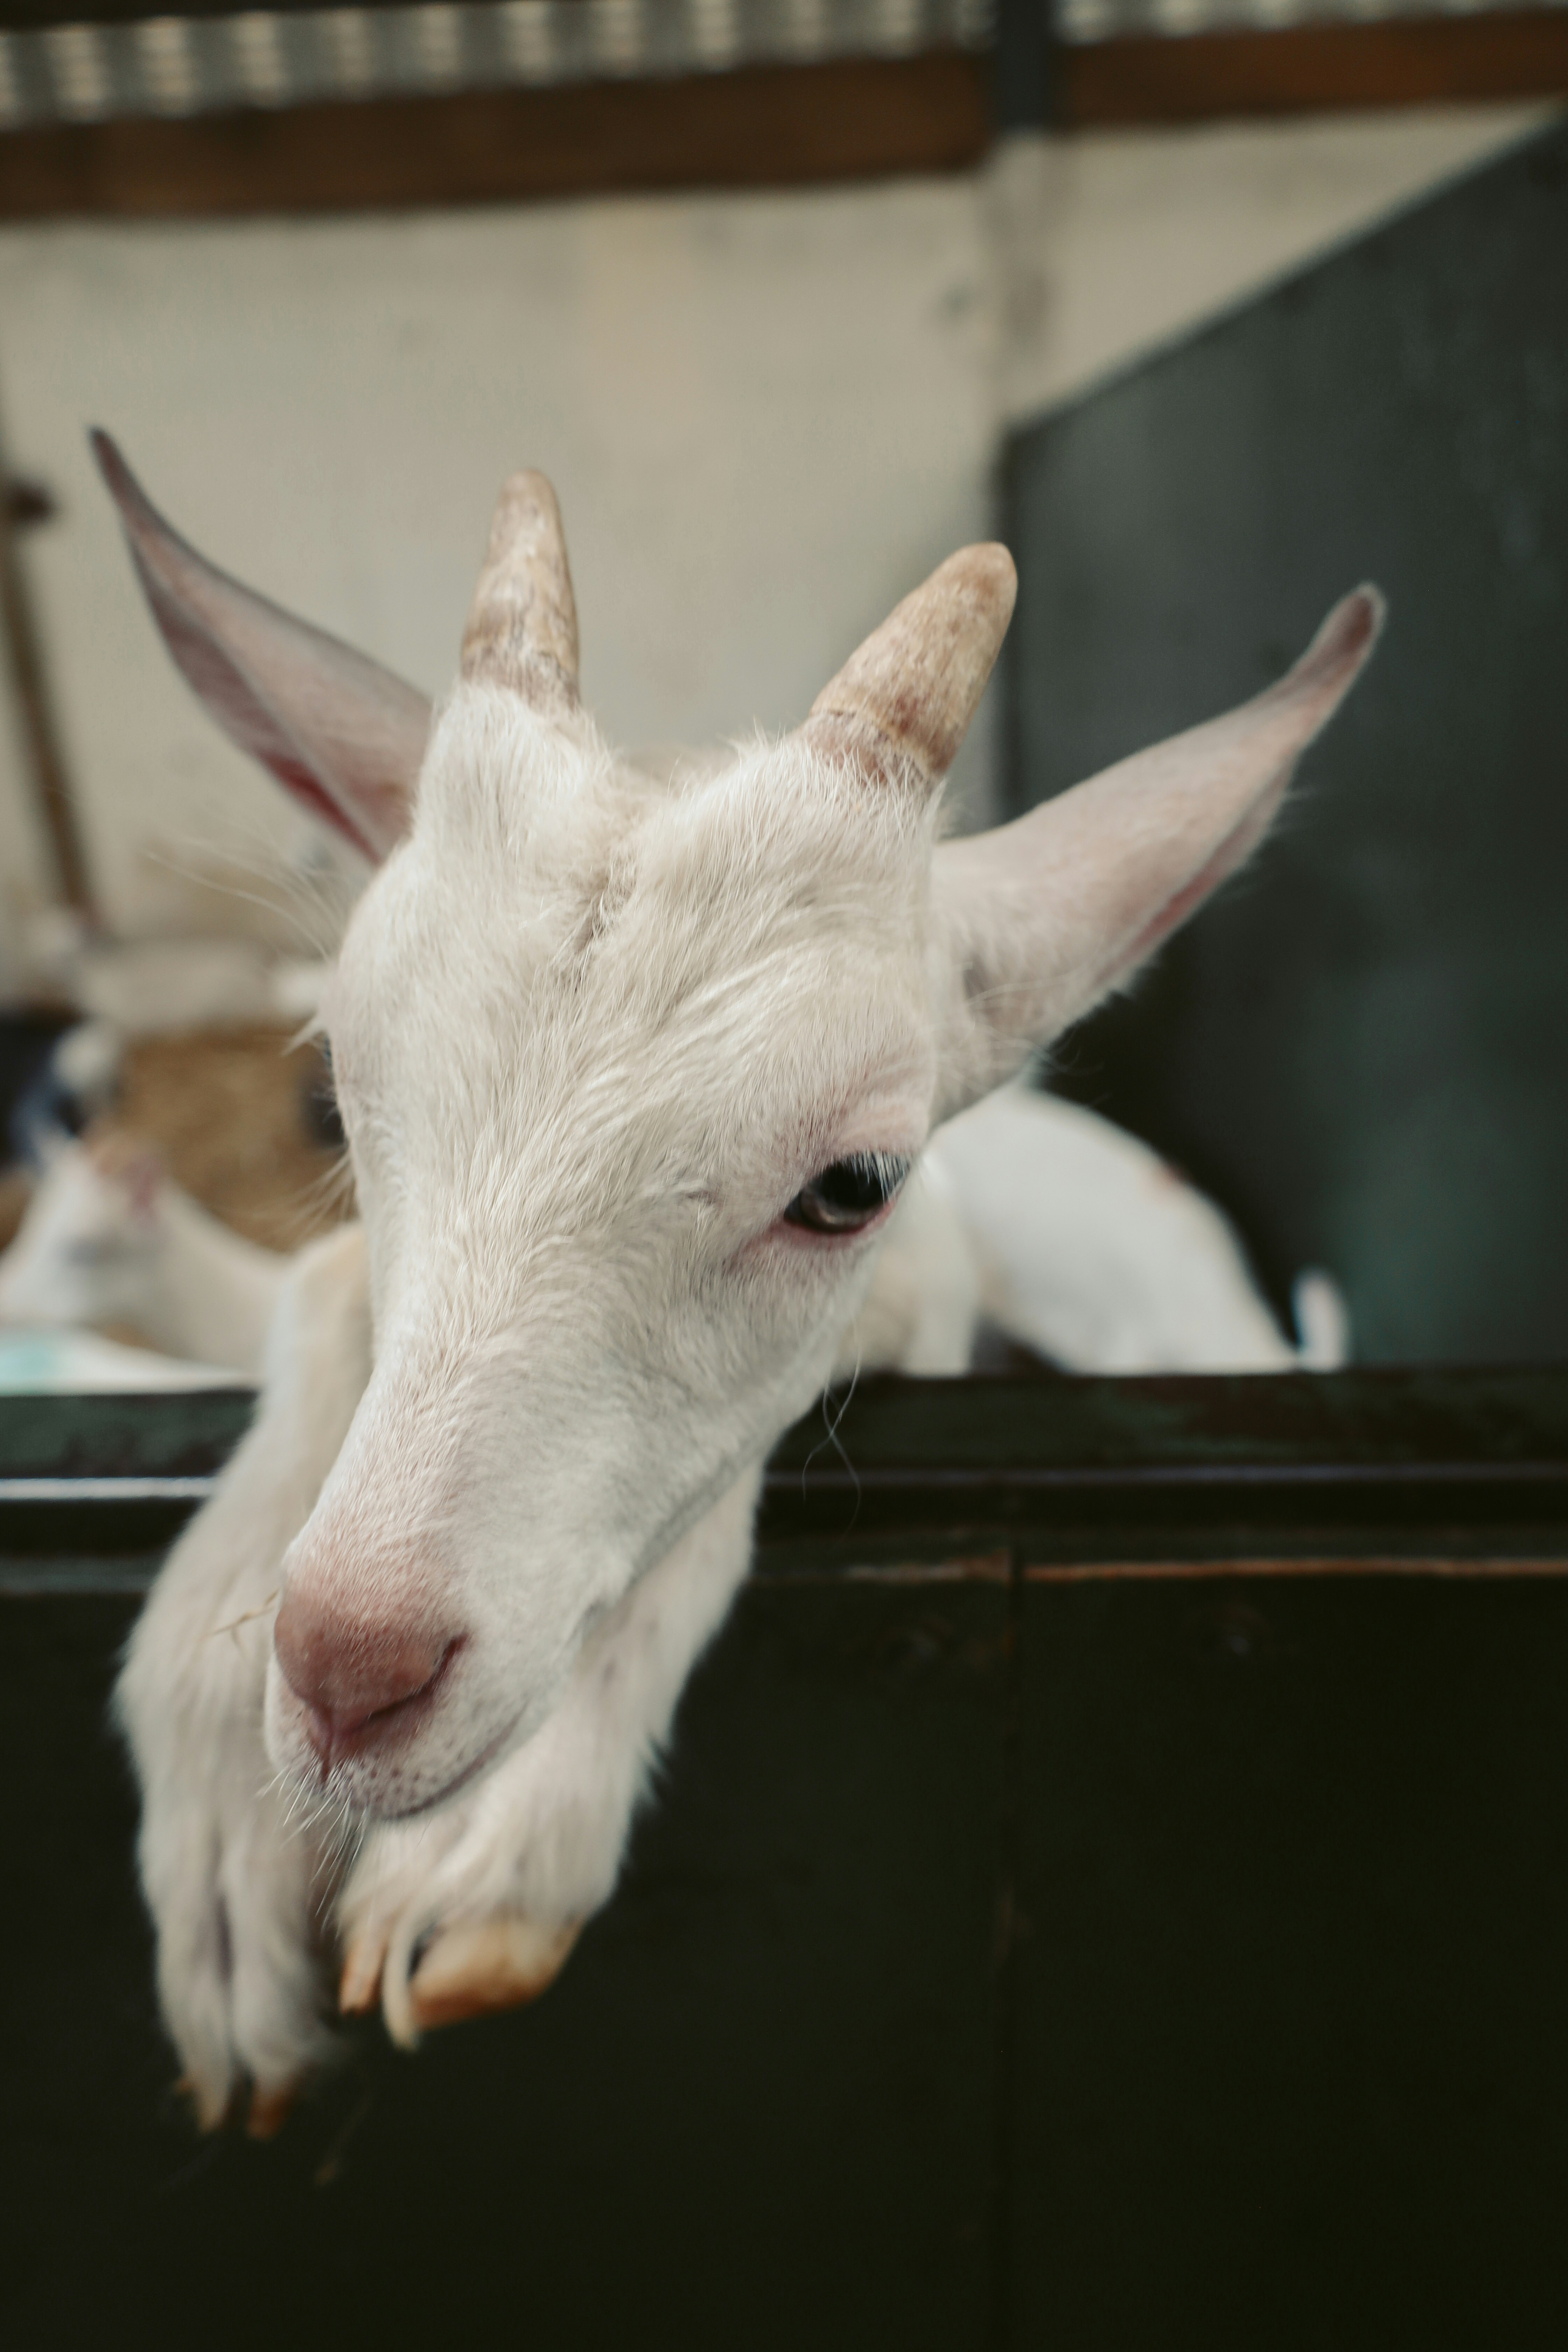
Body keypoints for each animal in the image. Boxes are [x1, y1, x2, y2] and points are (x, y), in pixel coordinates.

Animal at [97, 432, 1380, 2129]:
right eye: (333, 1067)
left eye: (846, 1185)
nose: (349, 1675)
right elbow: (320, 1285)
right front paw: (224, 1851)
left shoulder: (925, 1273)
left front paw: (489, 1842)